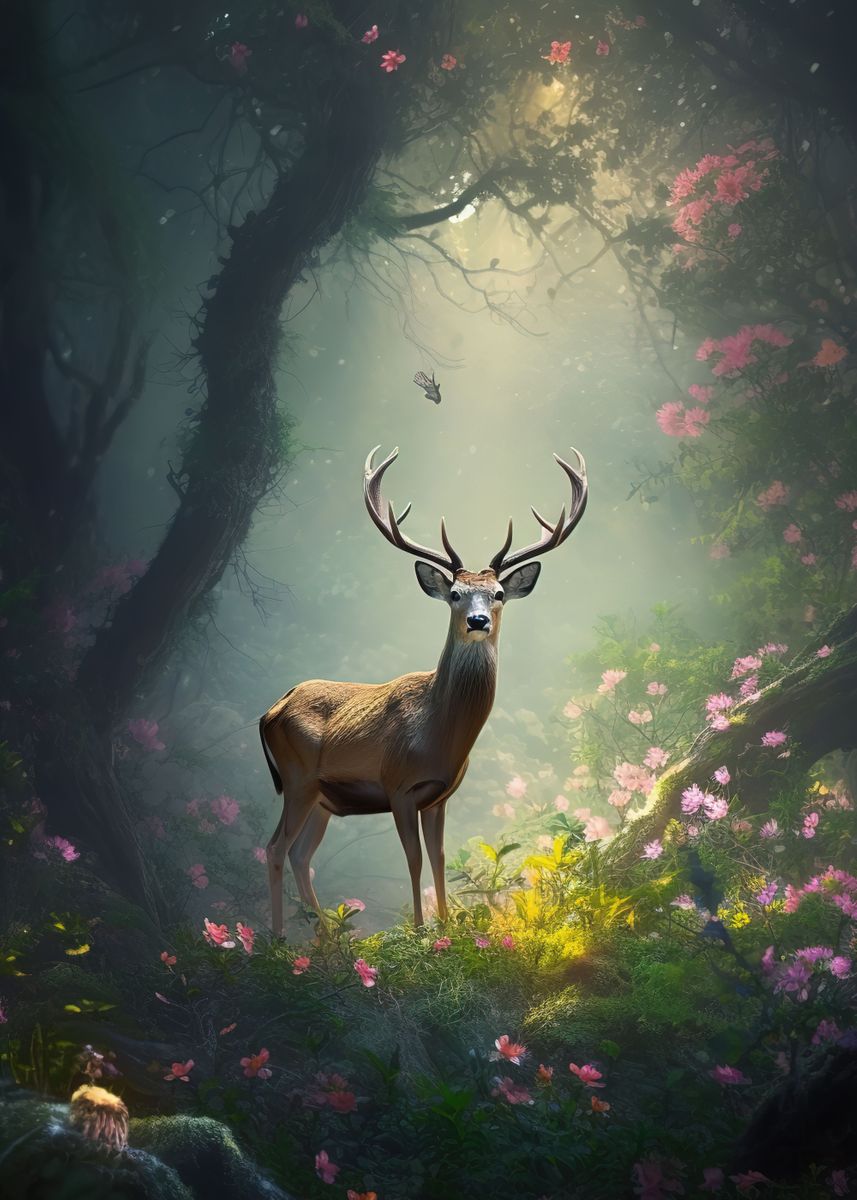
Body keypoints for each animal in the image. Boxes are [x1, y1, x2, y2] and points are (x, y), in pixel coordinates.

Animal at [260, 444, 588, 935]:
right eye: (454, 593)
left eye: (498, 594)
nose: (477, 620)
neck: (438, 733)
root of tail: (269, 712)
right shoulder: (398, 785)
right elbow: (413, 860)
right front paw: (418, 929)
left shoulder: (440, 795)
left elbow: (438, 858)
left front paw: (447, 927)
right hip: (297, 779)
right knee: (276, 848)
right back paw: (281, 938)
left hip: (323, 797)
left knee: (301, 855)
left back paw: (330, 940)